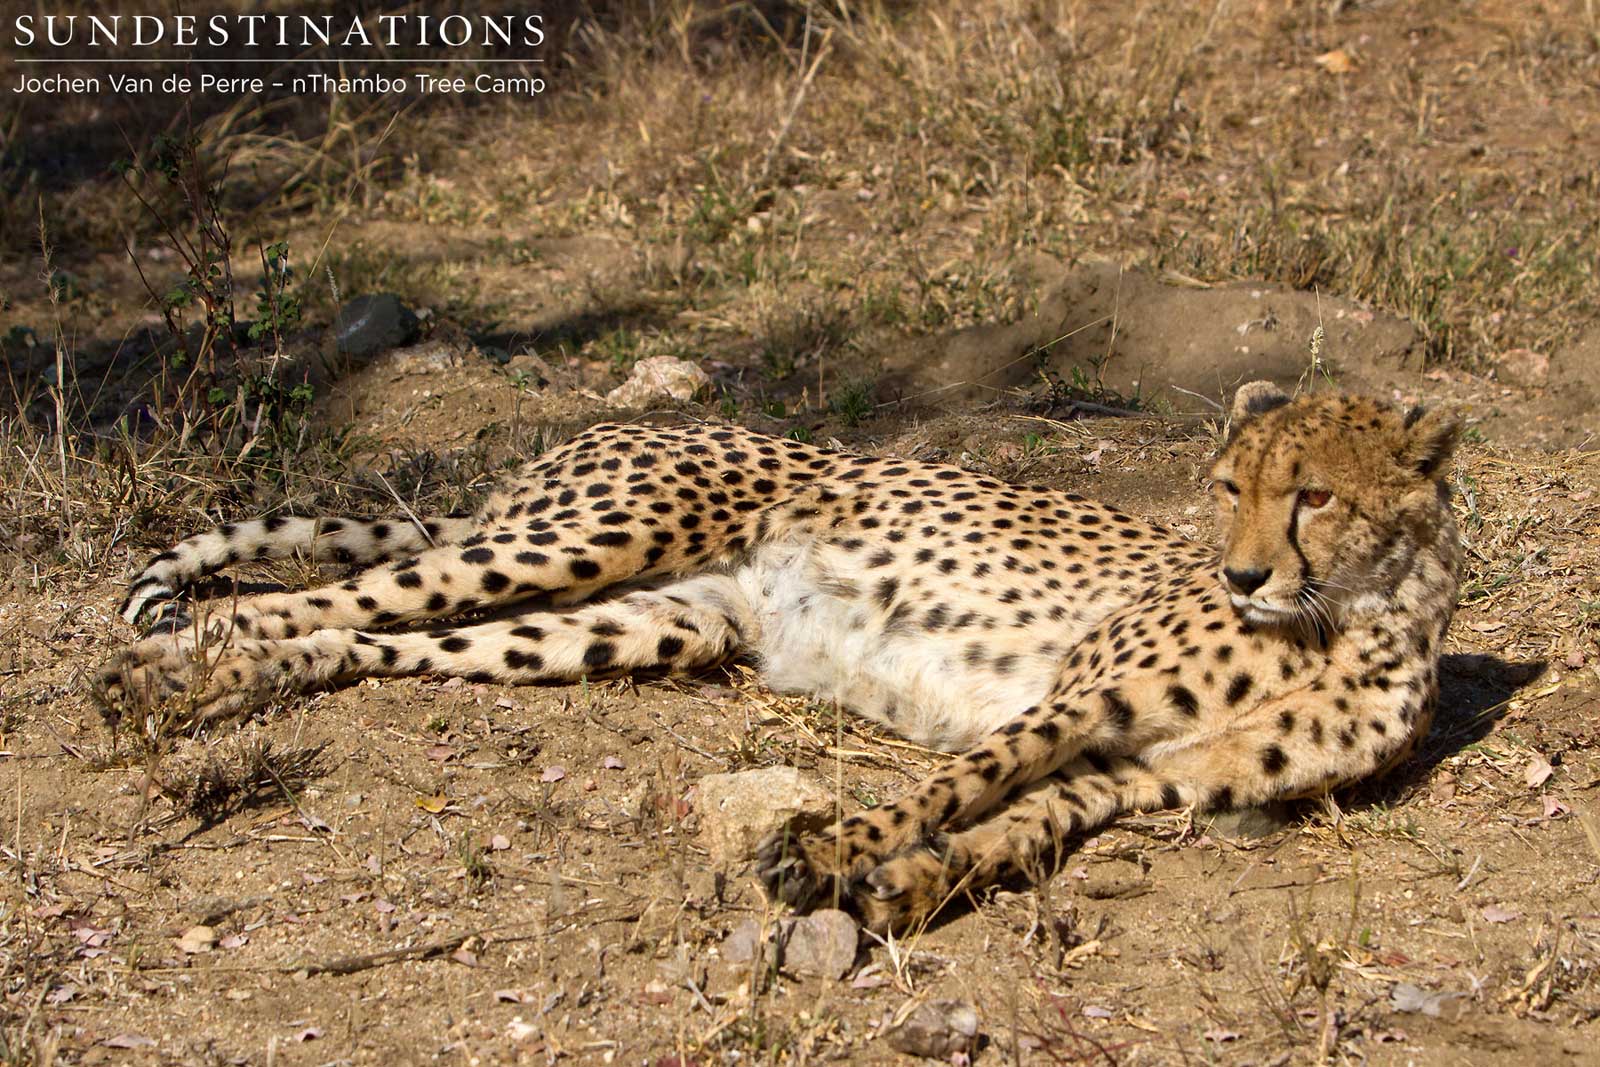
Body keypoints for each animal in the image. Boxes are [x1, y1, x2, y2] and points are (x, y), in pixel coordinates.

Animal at [95, 380, 1462, 932]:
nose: (1241, 574)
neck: (1349, 616)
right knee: (323, 595)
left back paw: (227, 679)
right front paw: (825, 852)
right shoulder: (1072, 704)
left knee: (373, 636)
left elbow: (1013, 831)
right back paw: (167, 673)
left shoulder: (1144, 773)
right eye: (1232, 487)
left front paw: (905, 889)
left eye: (1316, 495)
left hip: (648, 619)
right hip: (583, 534)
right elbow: (950, 786)